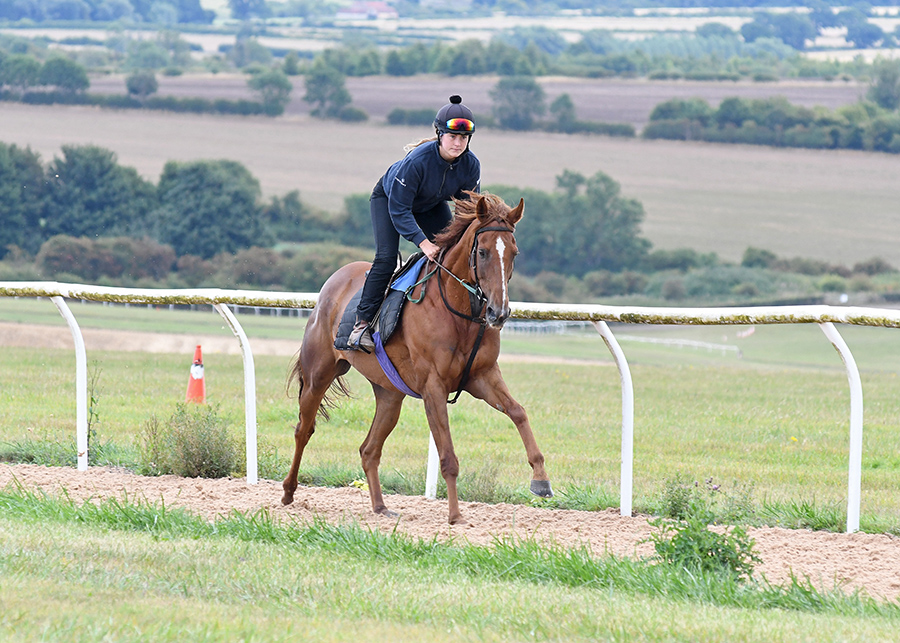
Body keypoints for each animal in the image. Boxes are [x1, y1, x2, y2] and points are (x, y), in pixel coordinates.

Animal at [282, 191, 552, 524]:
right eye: (483, 252)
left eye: (514, 252)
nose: (498, 313)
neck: (458, 312)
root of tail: (335, 279)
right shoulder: (433, 386)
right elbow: (447, 455)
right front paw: (455, 515)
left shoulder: (483, 375)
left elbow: (518, 412)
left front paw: (541, 479)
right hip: (318, 374)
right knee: (303, 430)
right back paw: (288, 491)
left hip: (389, 394)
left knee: (369, 450)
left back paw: (381, 506)